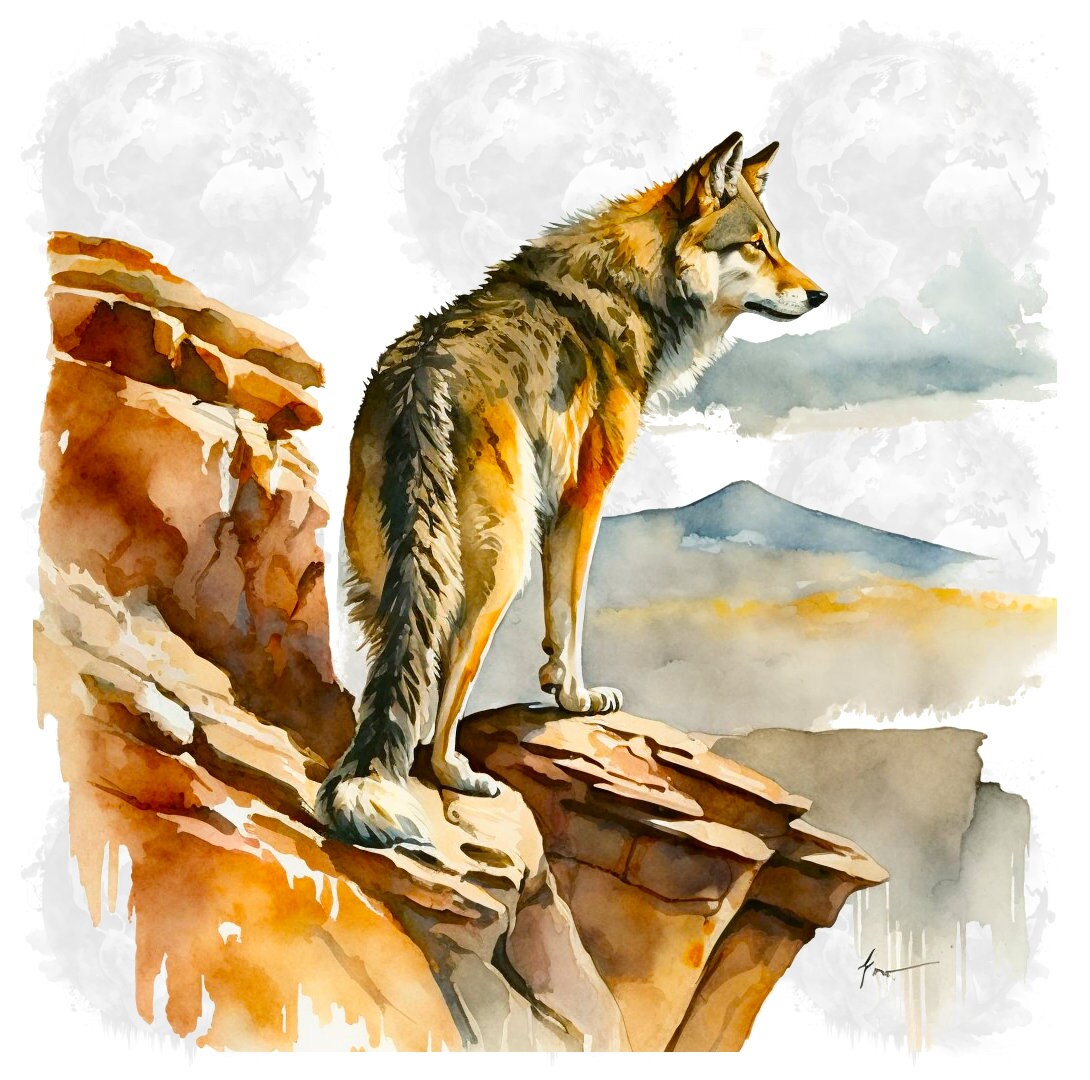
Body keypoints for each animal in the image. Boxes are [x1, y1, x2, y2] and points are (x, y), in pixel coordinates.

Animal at [317, 132, 827, 847]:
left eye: (776, 241)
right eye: (755, 245)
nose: (820, 295)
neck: (637, 286)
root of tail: (426, 372)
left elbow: (556, 627)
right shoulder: (583, 498)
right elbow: (572, 613)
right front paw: (576, 699)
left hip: (388, 573)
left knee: (396, 679)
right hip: (499, 569)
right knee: (446, 686)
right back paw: (456, 772)